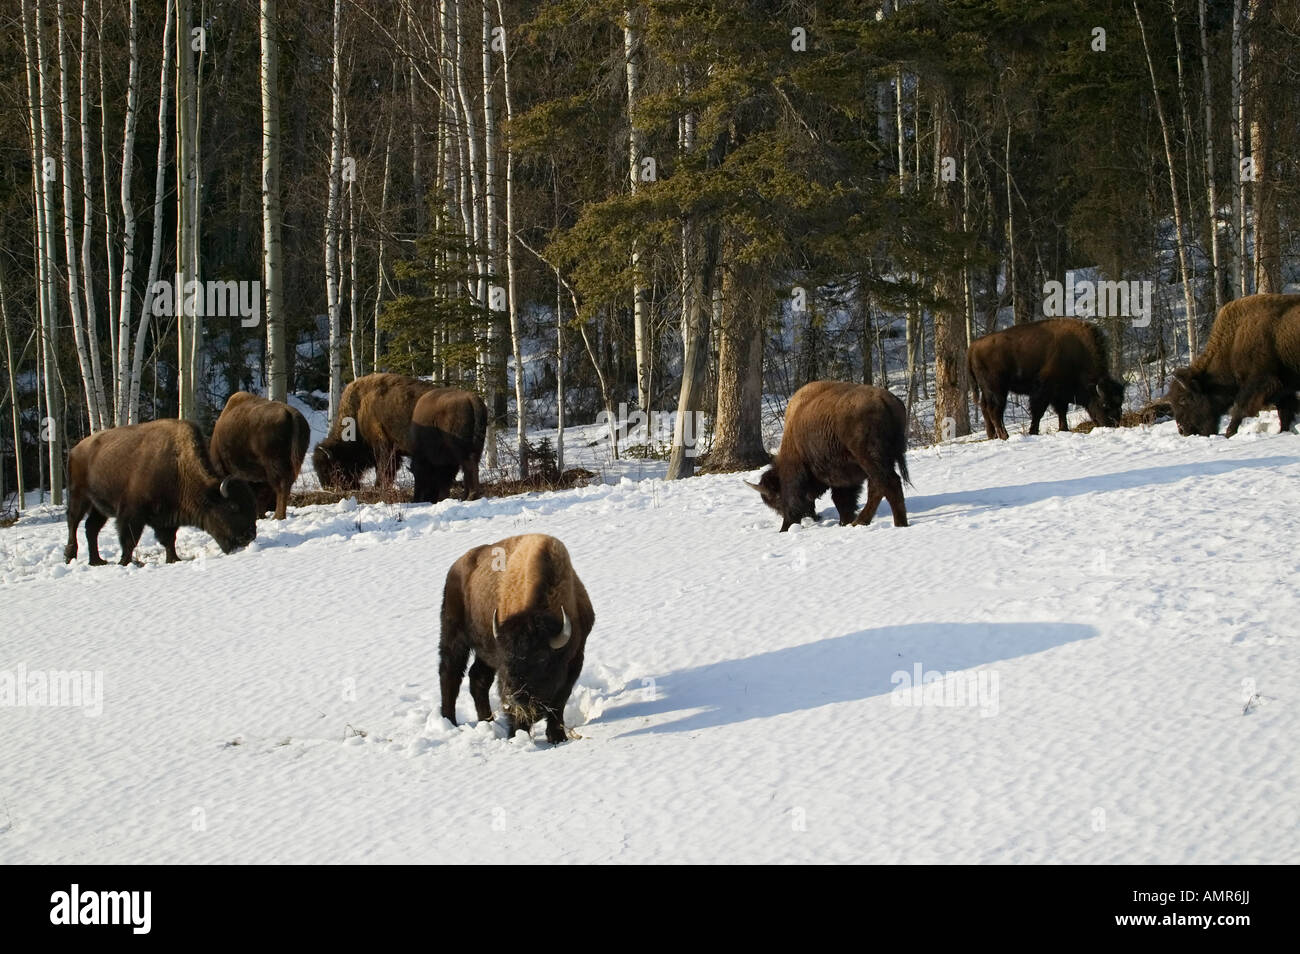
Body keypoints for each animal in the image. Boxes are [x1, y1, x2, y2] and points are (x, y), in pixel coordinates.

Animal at [64, 419, 258, 565]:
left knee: (91, 528)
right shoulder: (132, 514)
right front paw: (124, 563)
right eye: (233, 507)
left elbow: (169, 539)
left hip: (99, 508)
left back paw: (97, 561)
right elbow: (129, 540)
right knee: (73, 522)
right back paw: (70, 556)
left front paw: (174, 559)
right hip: (79, 497)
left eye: (252, 505)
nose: (250, 536)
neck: (179, 467)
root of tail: (75, 449)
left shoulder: (167, 516)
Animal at [439, 533, 594, 744]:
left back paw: (487, 721)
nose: (514, 694)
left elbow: (559, 702)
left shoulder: (575, 659)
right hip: (454, 635)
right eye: (506, 658)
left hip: (484, 651)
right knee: (450, 673)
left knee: (477, 678)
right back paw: (449, 721)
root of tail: (456, 567)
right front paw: (516, 735)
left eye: (541, 658)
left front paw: (557, 737)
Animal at [749, 380, 910, 532]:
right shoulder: (845, 478)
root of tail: (886, 401)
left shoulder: (795, 472)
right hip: (883, 460)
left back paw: (896, 524)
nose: (813, 516)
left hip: (869, 458)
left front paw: (785, 528)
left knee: (889, 484)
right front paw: (844, 522)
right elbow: (842, 500)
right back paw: (863, 522)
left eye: (776, 499)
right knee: (878, 487)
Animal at [967, 318, 1125, 439]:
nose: (1114, 424)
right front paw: (1033, 432)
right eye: (1105, 405)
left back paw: (992, 436)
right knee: (995, 411)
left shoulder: (1059, 395)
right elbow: (1038, 412)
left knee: (985, 408)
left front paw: (1063, 429)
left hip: (987, 390)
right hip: (997, 389)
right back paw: (1004, 436)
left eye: (1120, 404)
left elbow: (1061, 411)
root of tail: (973, 346)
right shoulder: (1044, 390)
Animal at [1168, 293, 1300, 437]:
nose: (1182, 430)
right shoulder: (1284, 387)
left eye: (1183, 399)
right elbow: (1285, 412)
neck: (1234, 340)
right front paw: (1283, 431)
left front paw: (1229, 433)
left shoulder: (1260, 382)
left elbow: (1239, 407)